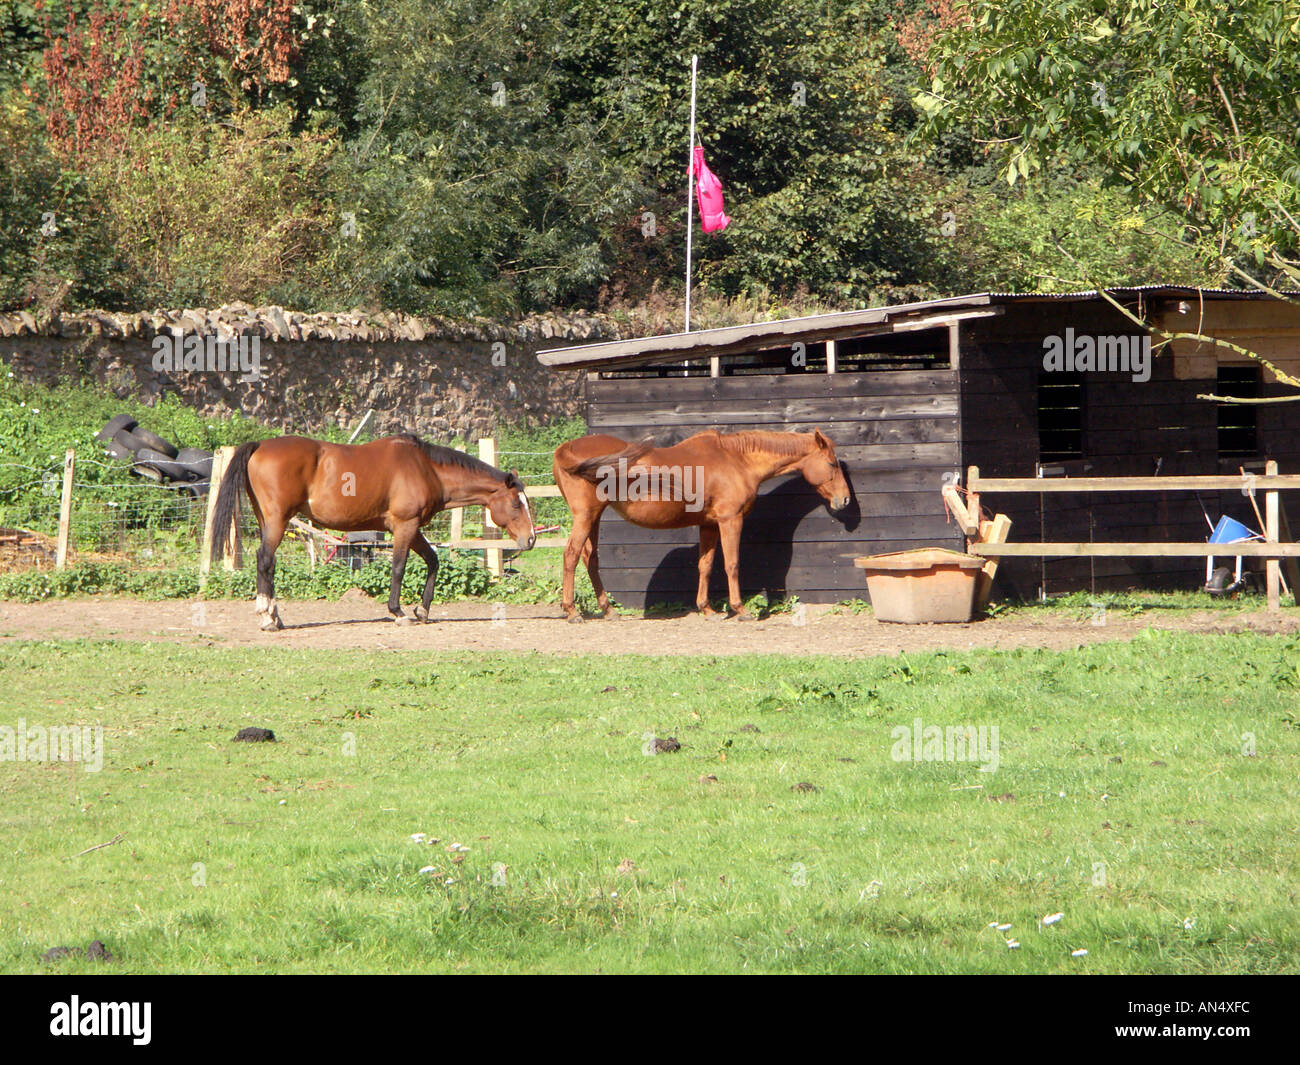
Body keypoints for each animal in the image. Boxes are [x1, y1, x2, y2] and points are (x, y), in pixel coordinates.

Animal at [208, 434, 536, 631]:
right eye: (516, 504)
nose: (531, 539)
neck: (426, 467)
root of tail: (260, 444)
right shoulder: (405, 526)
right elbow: (399, 568)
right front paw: (398, 612)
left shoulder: (412, 529)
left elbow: (433, 561)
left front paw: (422, 610)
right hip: (277, 521)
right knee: (265, 560)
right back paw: (268, 617)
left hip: (268, 520)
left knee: (268, 564)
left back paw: (275, 616)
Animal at [553, 428, 851, 621]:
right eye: (831, 463)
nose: (845, 499)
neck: (736, 460)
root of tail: (565, 450)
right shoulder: (731, 520)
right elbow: (732, 564)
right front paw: (740, 610)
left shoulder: (708, 525)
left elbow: (705, 566)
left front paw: (707, 609)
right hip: (585, 516)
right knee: (571, 556)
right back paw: (572, 611)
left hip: (594, 517)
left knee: (590, 559)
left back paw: (609, 611)